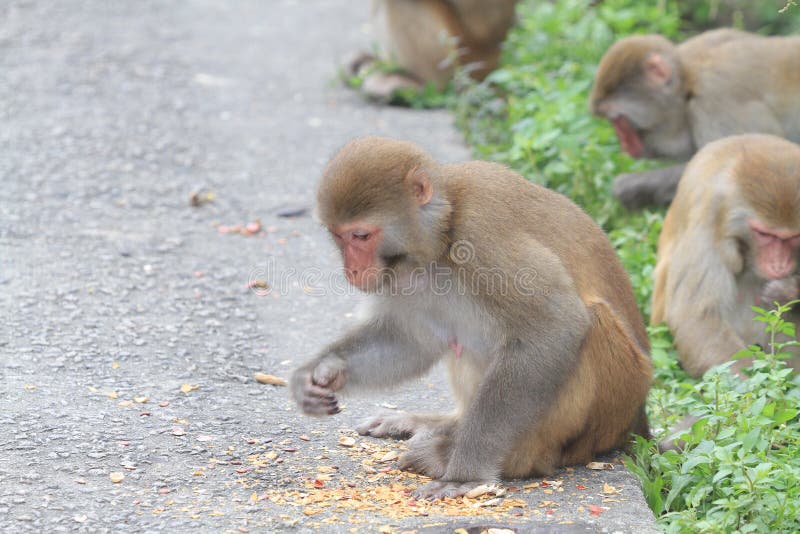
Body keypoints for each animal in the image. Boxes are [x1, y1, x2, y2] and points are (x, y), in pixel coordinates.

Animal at [290, 136, 652, 499]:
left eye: (362, 236)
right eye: (338, 236)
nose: (351, 270)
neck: (442, 234)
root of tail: (636, 421)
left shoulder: (482, 237)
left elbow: (555, 326)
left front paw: (464, 474)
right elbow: (411, 342)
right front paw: (324, 370)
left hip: (609, 413)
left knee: (592, 322)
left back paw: (497, 458)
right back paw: (441, 424)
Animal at [589, 29, 800, 210]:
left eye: (618, 120)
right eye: (611, 121)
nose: (623, 143)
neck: (689, 83)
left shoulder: (716, 105)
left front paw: (632, 188)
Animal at [652, 134, 800, 381]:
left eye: (793, 237)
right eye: (764, 234)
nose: (779, 265)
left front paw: (787, 291)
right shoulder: (708, 221)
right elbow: (696, 318)